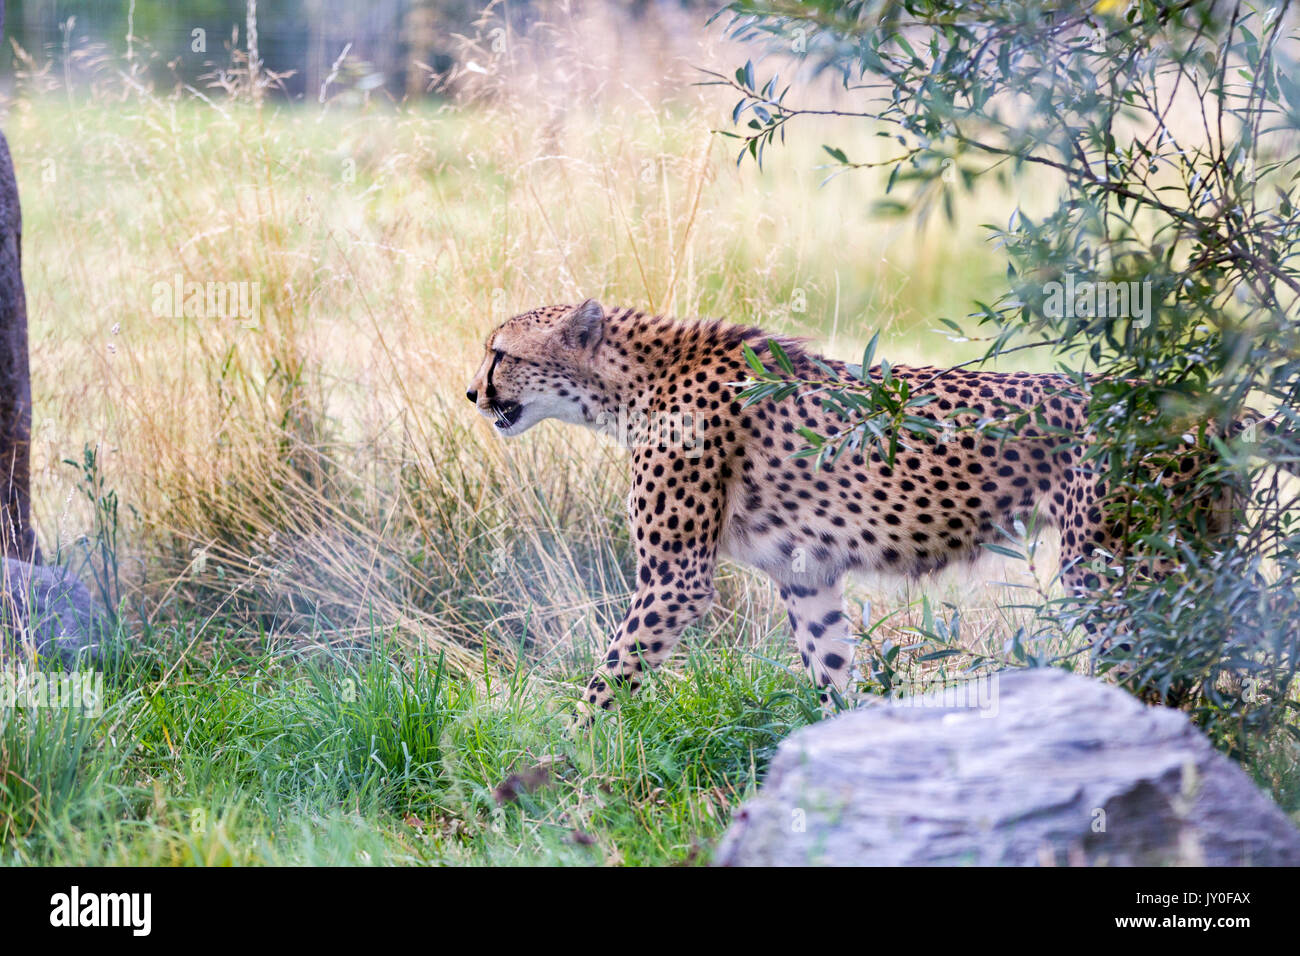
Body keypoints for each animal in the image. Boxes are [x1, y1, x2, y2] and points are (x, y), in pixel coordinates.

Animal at [466, 299, 1245, 716]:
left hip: (1110, 569)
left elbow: (608, 681)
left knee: (1162, 675)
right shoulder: (805, 574)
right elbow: (830, 667)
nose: (472, 393)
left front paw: (562, 774)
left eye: (500, 353)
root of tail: (1211, 408)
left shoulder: (675, 580)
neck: (629, 383)